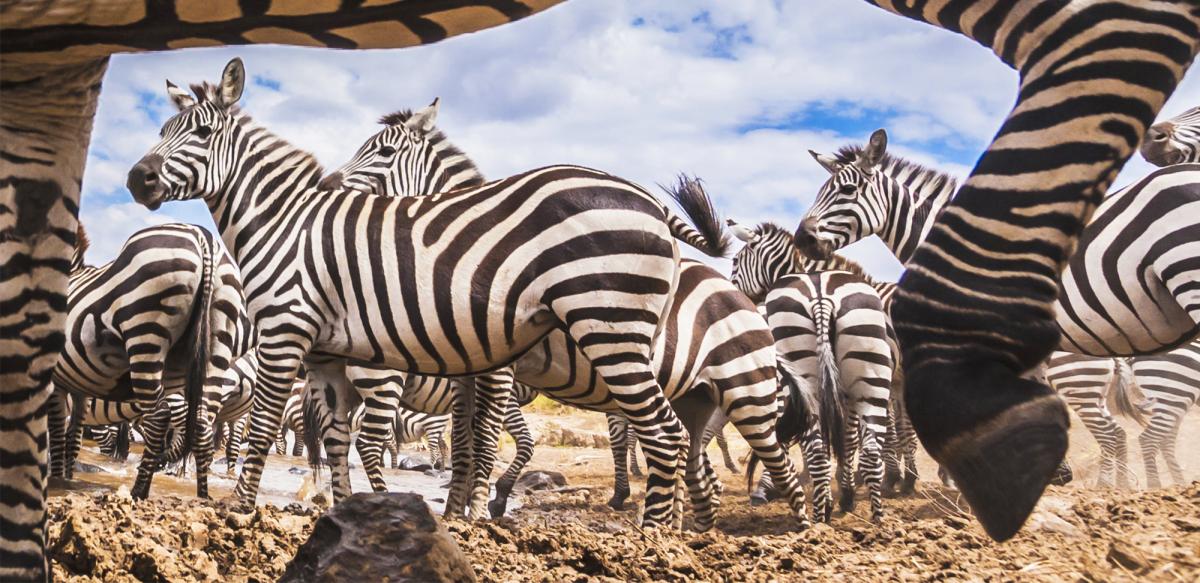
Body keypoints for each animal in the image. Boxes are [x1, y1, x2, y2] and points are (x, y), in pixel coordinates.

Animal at [324, 107, 816, 530]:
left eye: (385, 152)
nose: (330, 184)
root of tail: (748, 305)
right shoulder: (469, 371)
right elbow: (464, 441)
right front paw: (453, 513)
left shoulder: (500, 370)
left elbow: (486, 441)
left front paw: (478, 512)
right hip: (696, 397)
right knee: (700, 469)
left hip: (745, 394)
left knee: (777, 459)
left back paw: (801, 530)